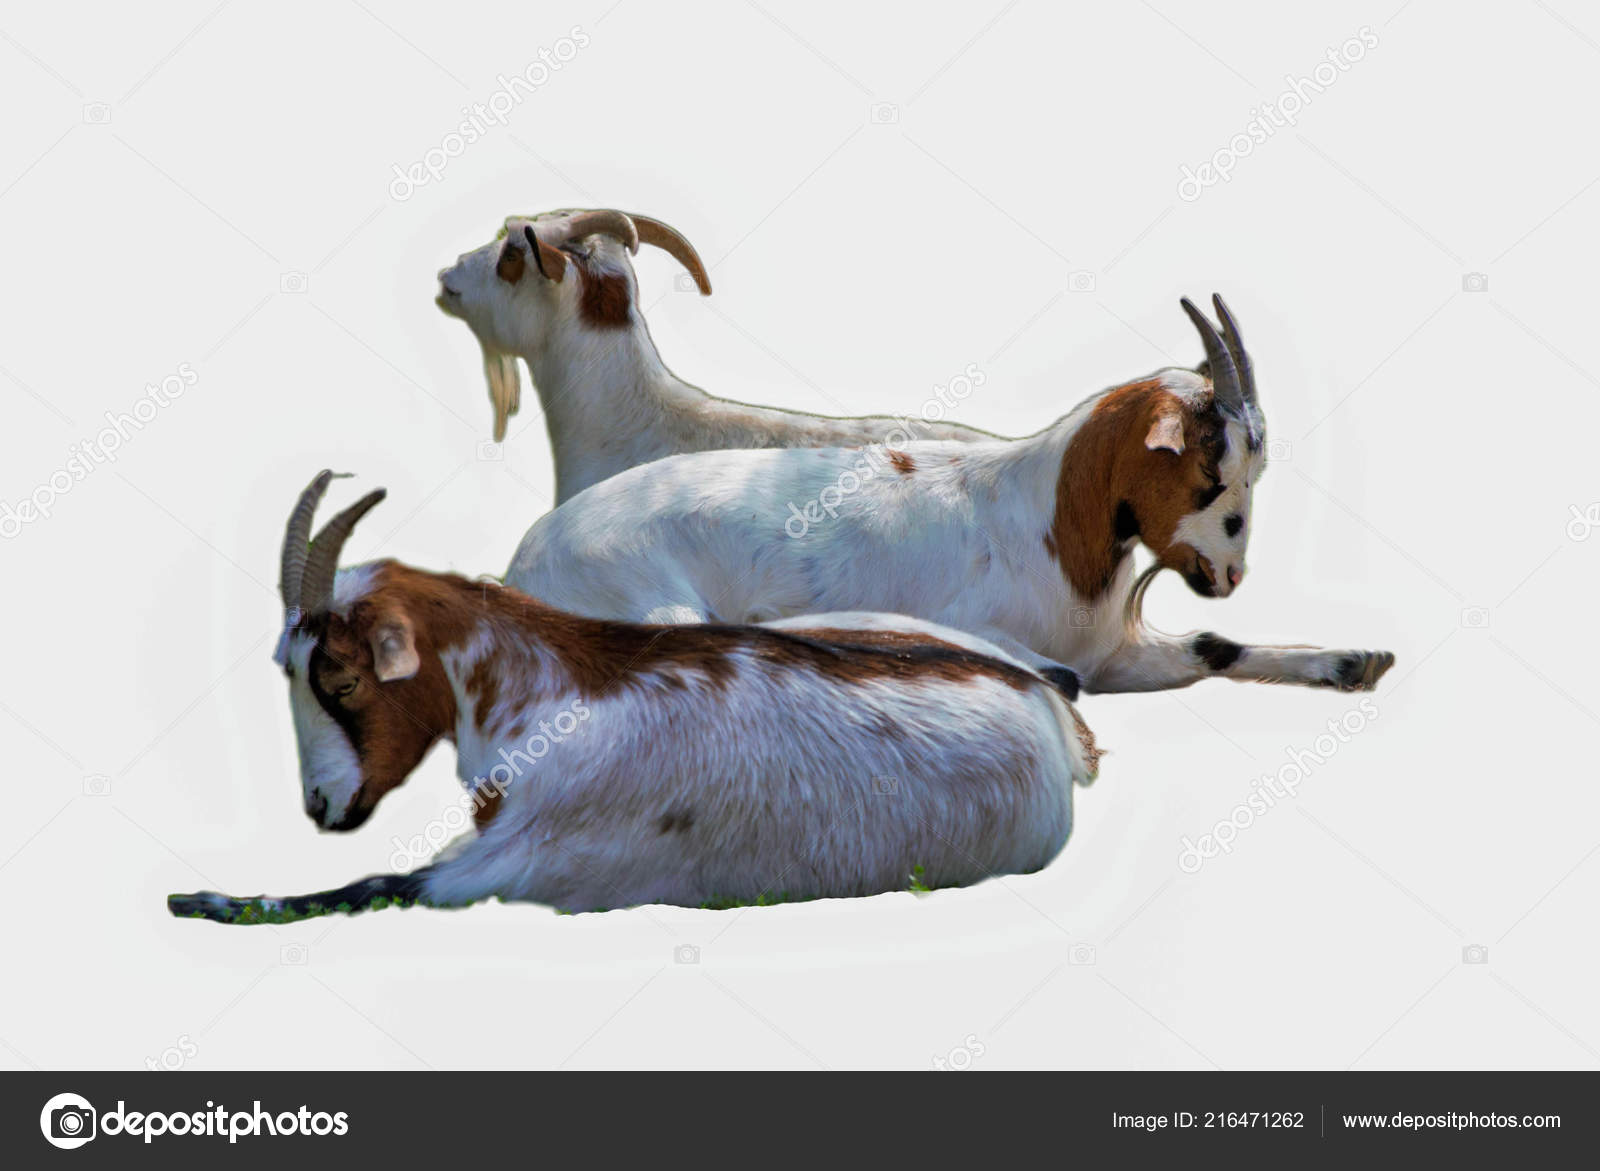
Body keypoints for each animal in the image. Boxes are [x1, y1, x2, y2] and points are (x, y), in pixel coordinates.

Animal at [168, 472, 1100, 922]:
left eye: (343, 678)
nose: (321, 805)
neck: (551, 684)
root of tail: (1048, 708)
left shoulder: (514, 863)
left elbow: (371, 882)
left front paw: (200, 899)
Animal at [502, 296, 1395, 695]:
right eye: (1211, 474)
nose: (1231, 572)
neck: (1050, 524)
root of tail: (527, 557)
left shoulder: (1117, 653)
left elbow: (1211, 645)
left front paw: (1354, 660)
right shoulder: (993, 624)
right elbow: (1055, 674)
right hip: (644, 593)